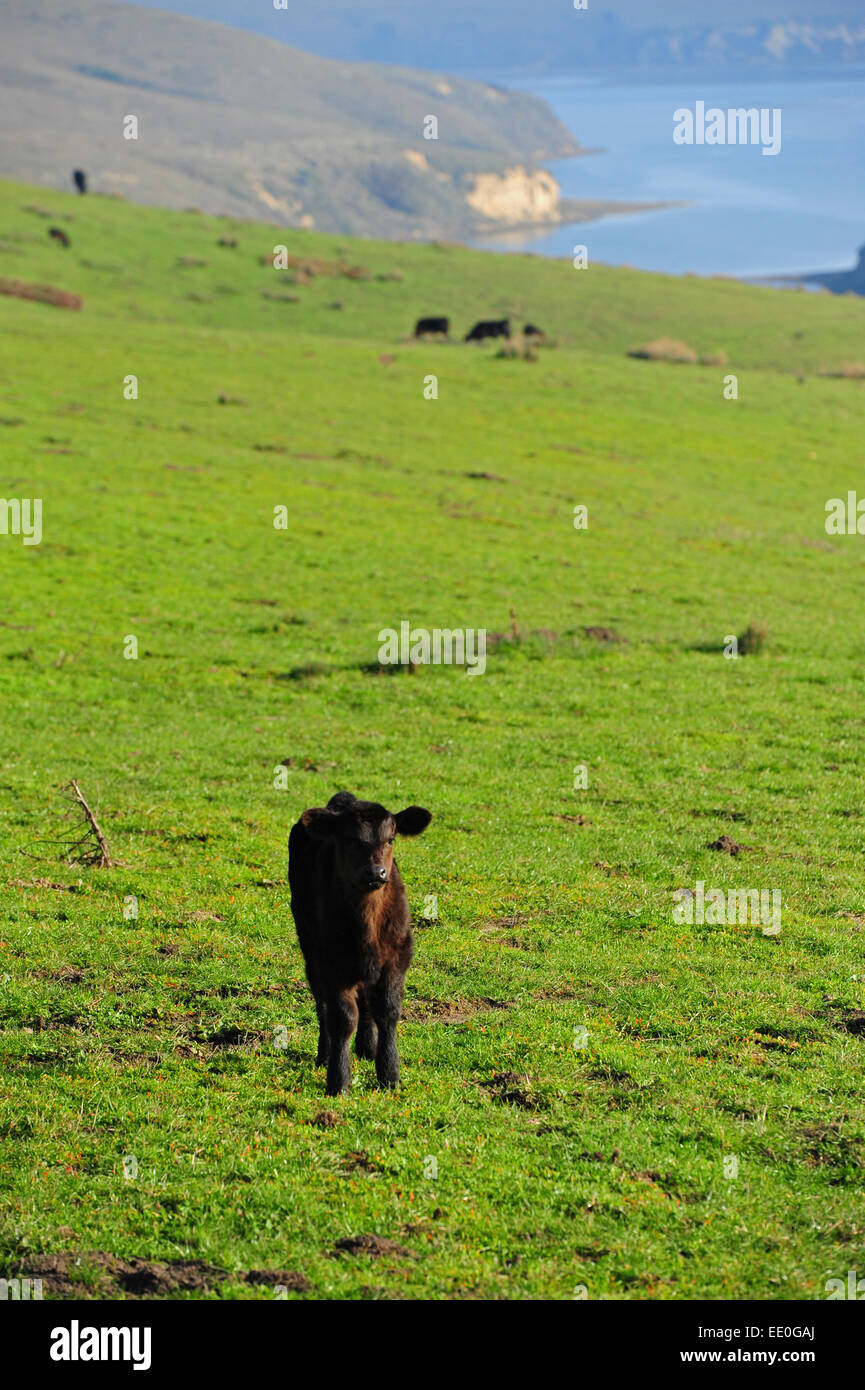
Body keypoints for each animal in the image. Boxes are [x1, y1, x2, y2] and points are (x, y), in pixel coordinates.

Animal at [288, 791, 432, 1096]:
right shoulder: (331, 961)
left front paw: (389, 1074)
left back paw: (367, 1047)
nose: (376, 872)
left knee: (365, 998)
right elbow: (342, 1018)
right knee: (321, 1002)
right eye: (350, 840)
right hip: (309, 945)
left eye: (391, 839)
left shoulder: (398, 955)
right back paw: (324, 1053)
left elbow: (388, 1010)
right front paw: (339, 1080)